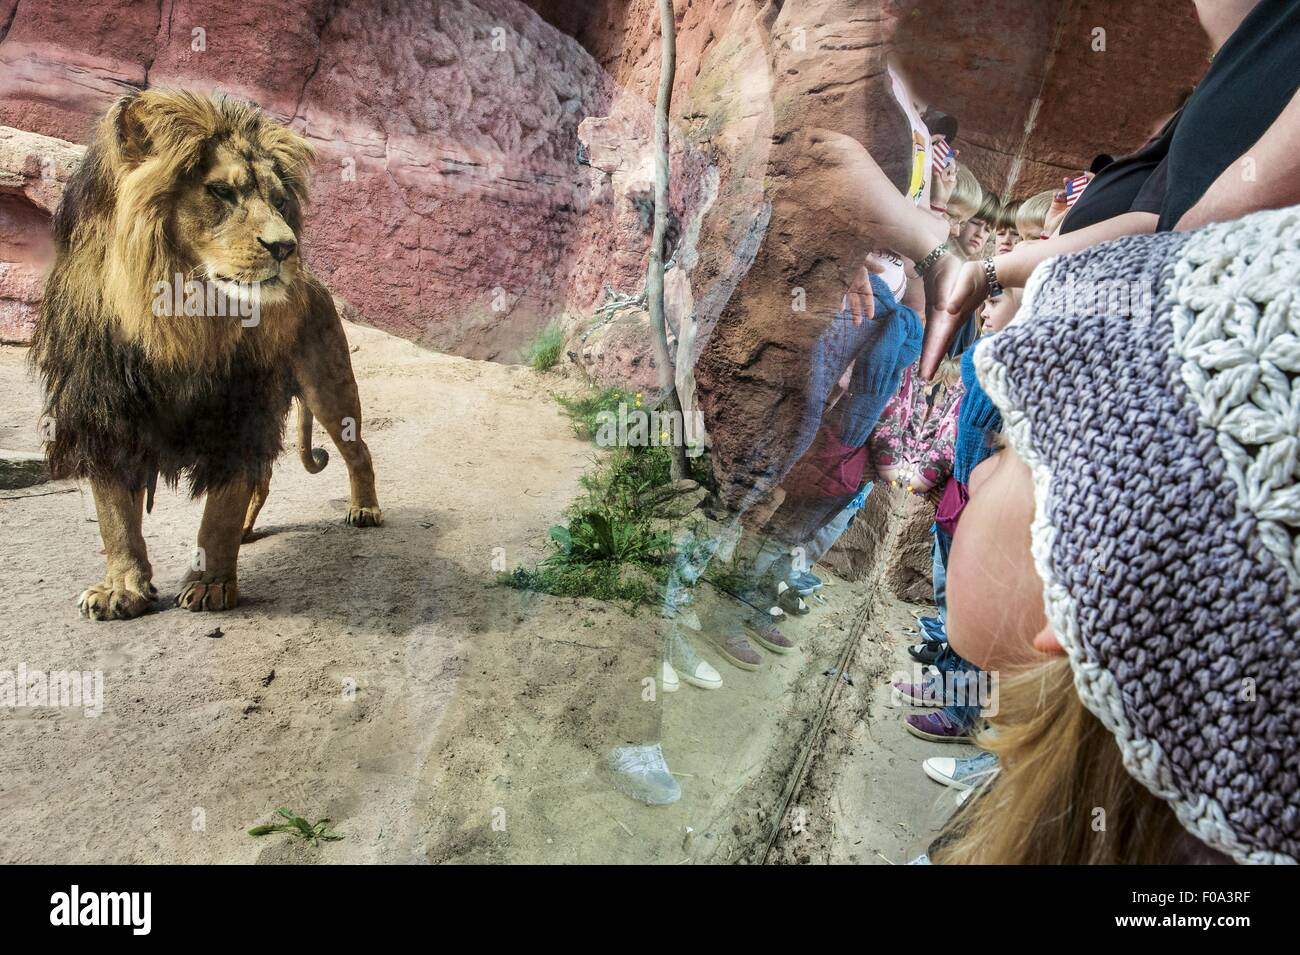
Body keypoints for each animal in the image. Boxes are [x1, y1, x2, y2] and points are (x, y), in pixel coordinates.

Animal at [31, 89, 383, 620]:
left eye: (279, 200)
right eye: (222, 192)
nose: (286, 247)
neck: (180, 317)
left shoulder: (241, 407)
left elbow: (220, 508)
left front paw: (212, 585)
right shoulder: (104, 406)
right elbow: (115, 514)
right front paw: (121, 588)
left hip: (330, 386)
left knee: (357, 451)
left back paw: (365, 508)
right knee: (262, 479)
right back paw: (249, 530)